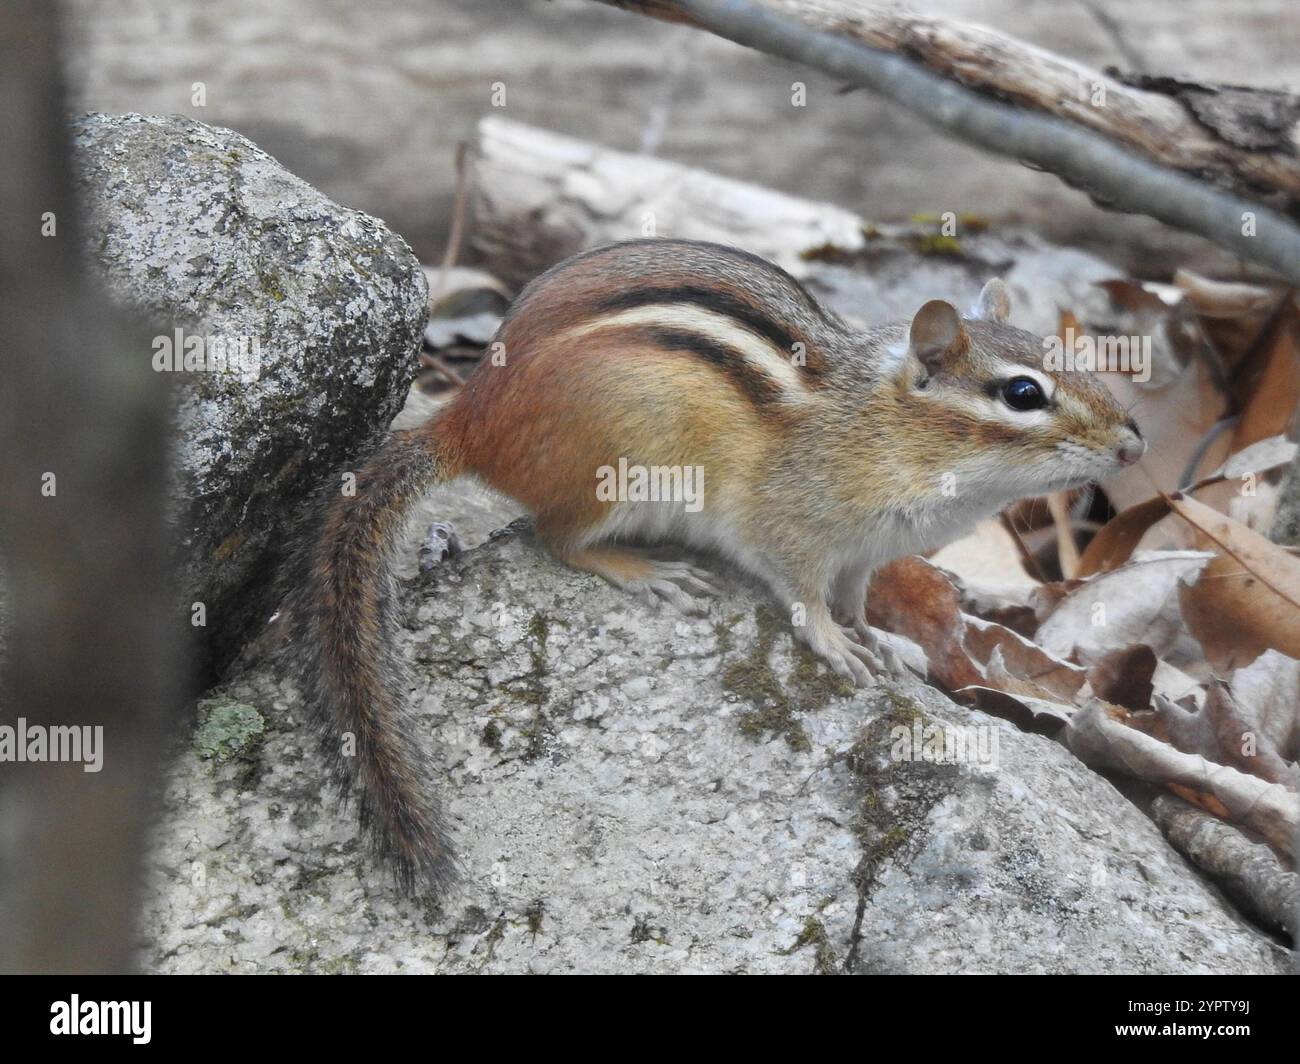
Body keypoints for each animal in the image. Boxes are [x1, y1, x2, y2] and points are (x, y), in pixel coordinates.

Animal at [282, 238, 1145, 895]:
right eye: (1023, 393)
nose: (1135, 444)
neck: (885, 423)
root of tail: (467, 416)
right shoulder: (795, 528)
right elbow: (801, 592)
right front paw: (832, 642)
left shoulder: (864, 554)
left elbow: (858, 599)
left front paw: (885, 644)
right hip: (626, 460)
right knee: (555, 537)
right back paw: (641, 570)